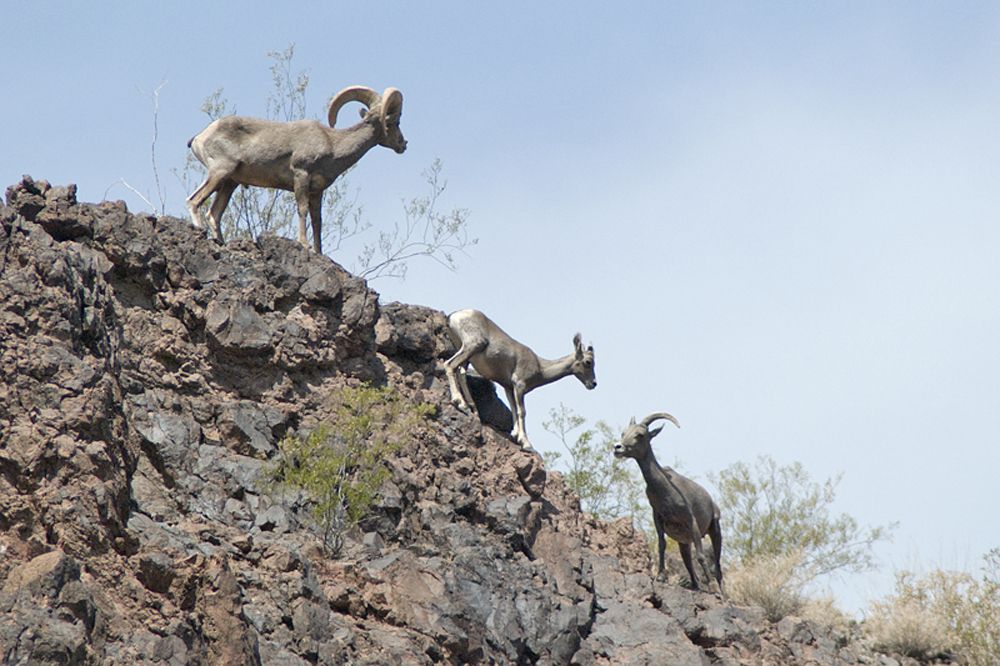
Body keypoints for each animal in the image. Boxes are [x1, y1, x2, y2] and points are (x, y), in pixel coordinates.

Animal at [186, 85, 406, 253]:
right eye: (396, 121)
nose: (403, 144)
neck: (333, 144)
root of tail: (199, 137)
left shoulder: (317, 191)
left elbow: (317, 221)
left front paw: (319, 252)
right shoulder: (301, 177)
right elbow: (302, 210)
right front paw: (304, 244)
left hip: (229, 183)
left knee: (214, 214)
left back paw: (221, 243)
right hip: (219, 172)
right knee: (194, 201)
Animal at [444, 309, 596, 451]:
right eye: (588, 362)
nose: (593, 384)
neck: (541, 368)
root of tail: (454, 316)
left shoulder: (509, 388)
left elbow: (514, 410)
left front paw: (516, 436)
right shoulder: (519, 385)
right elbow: (521, 412)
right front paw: (526, 443)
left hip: (465, 354)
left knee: (460, 372)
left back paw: (472, 407)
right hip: (473, 345)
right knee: (450, 365)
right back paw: (460, 403)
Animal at [613, 412, 724, 594]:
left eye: (640, 434)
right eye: (624, 433)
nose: (617, 448)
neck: (665, 490)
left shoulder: (691, 522)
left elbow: (701, 556)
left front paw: (712, 587)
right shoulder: (658, 518)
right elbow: (661, 545)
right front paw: (661, 577)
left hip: (715, 530)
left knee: (718, 567)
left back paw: (721, 592)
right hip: (683, 544)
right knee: (690, 564)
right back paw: (694, 586)